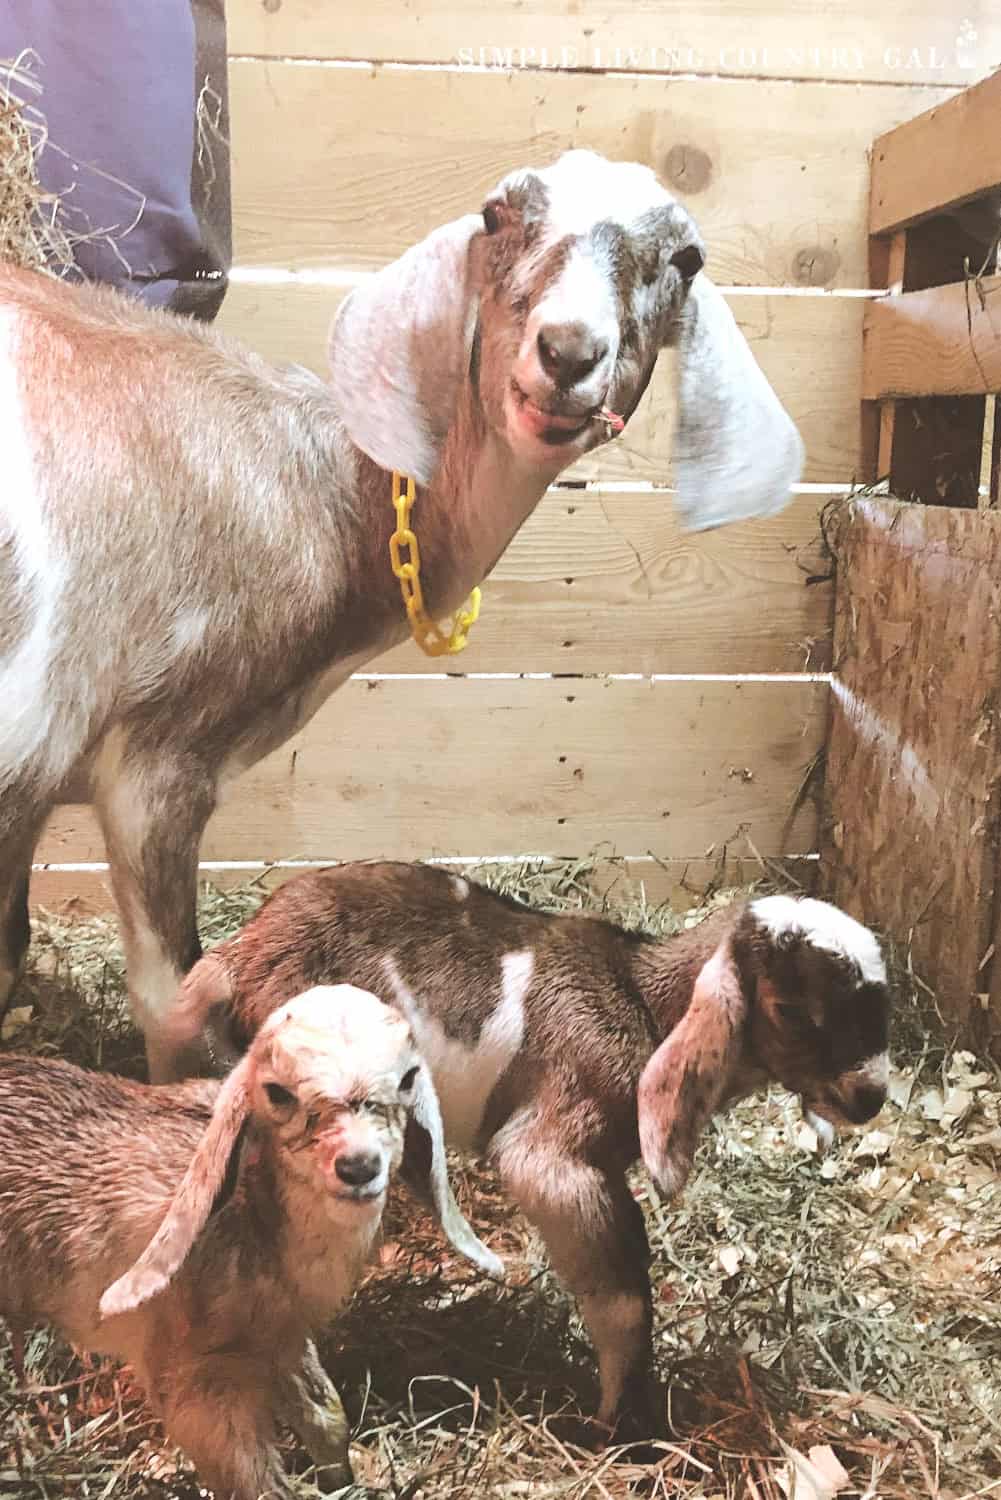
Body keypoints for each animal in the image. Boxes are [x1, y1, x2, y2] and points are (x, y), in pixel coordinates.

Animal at [0, 984, 501, 1499]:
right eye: (277, 1092)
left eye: (407, 1079)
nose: (358, 1166)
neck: (253, 1215)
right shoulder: (192, 1377)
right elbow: (256, 1480)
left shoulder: (280, 1333)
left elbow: (327, 1418)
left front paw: (342, 1481)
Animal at [1, 149, 804, 1080]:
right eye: (497, 214)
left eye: (684, 258)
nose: (567, 351)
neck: (330, 497)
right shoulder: (152, 762)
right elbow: (174, 1000)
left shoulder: (33, 788)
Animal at [161, 861, 891, 1438]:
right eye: (792, 1010)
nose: (871, 1096)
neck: (642, 1000)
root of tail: (240, 953)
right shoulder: (553, 1147)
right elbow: (623, 1291)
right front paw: (622, 1424)